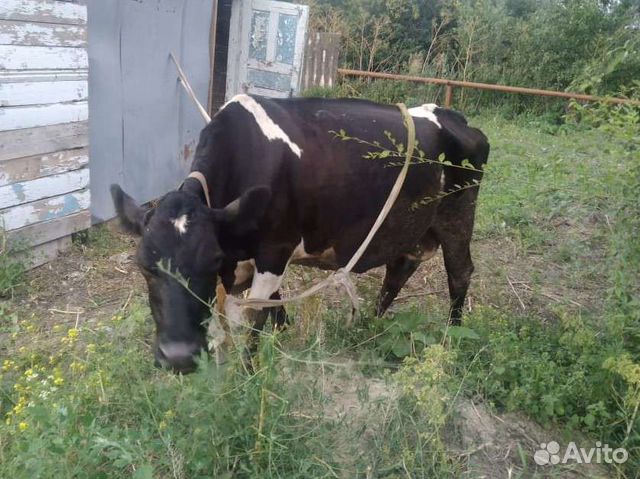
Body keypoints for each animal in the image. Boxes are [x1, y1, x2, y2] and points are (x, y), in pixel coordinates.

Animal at [111, 95, 489, 373]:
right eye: (143, 266)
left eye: (211, 261)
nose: (178, 357)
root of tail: (454, 117)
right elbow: (263, 307)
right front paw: (280, 331)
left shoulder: (275, 248)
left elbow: (255, 315)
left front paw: (248, 372)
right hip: (411, 226)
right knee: (400, 268)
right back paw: (370, 324)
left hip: (458, 212)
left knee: (459, 272)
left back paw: (452, 334)